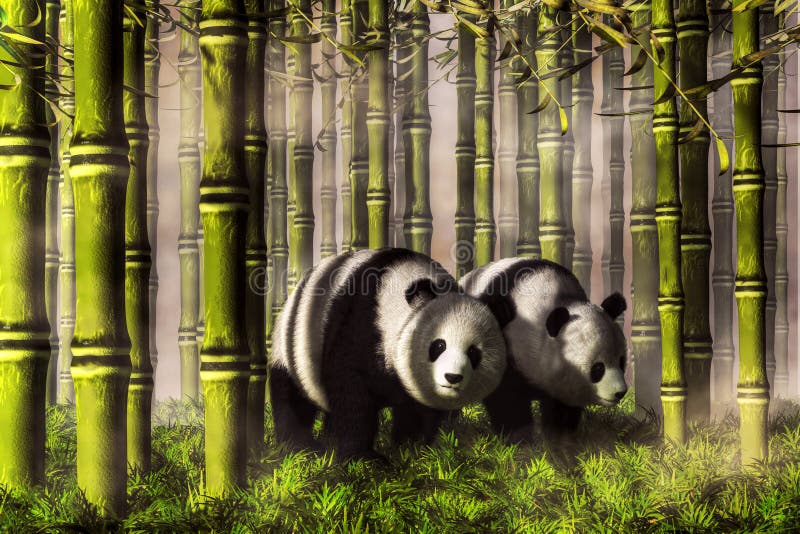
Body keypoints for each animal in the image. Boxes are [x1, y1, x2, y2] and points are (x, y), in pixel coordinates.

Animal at [270, 248, 511, 461]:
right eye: (439, 346)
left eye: (473, 352)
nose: (452, 377)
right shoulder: (360, 325)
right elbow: (351, 392)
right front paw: (363, 458)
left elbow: (417, 409)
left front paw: (411, 448)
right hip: (292, 345)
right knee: (292, 397)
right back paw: (301, 446)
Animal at [460, 257, 628, 443]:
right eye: (598, 368)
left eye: (621, 361)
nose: (620, 392)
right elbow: (506, 398)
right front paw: (519, 438)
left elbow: (561, 406)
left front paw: (561, 438)